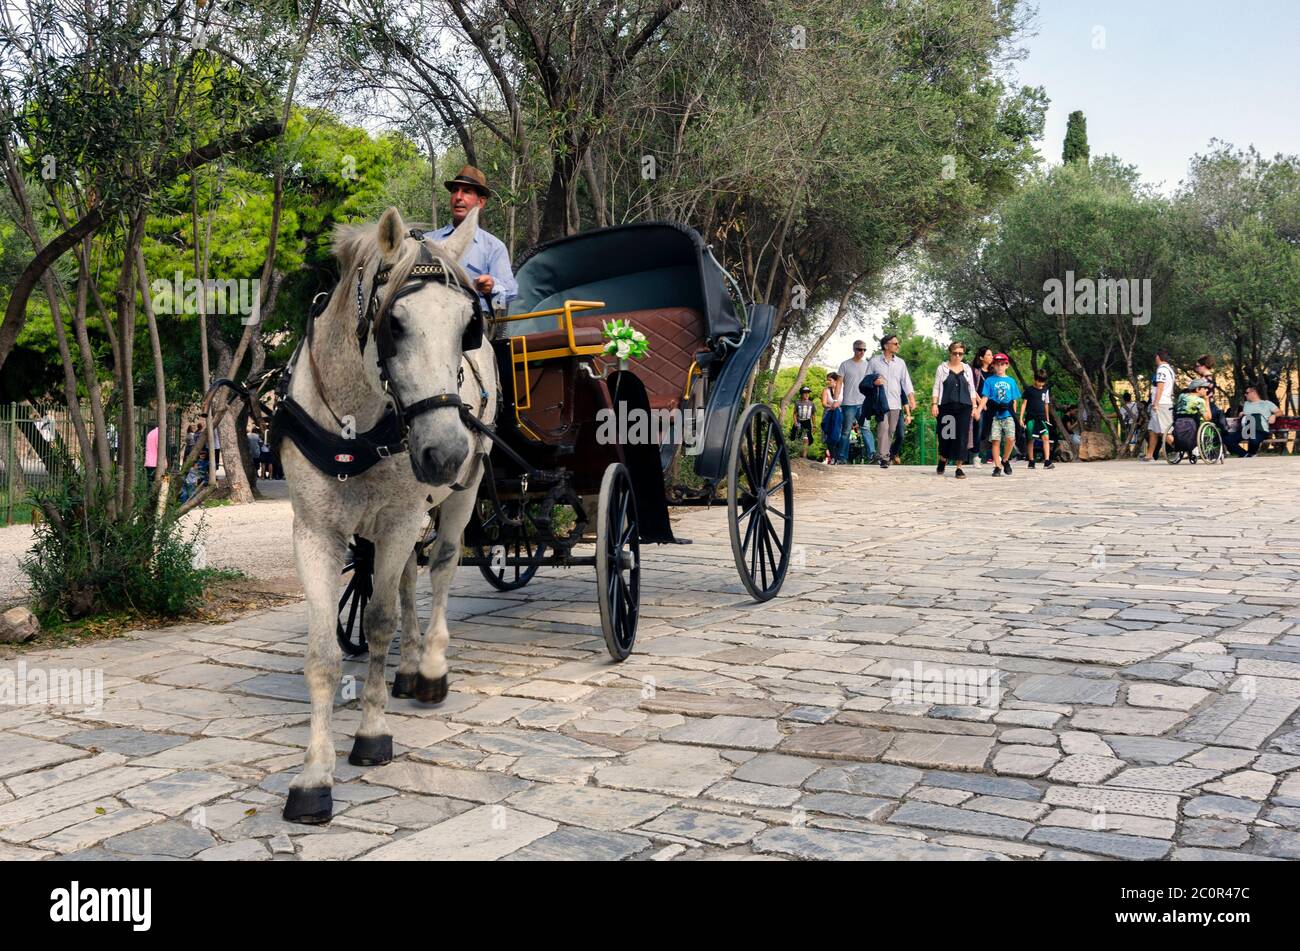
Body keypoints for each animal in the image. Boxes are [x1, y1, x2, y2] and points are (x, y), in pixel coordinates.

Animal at [275, 206, 497, 824]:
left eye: (468, 326)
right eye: (393, 324)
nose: (444, 452)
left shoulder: (399, 519)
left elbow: (376, 623)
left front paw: (372, 733)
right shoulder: (316, 532)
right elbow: (325, 653)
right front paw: (313, 775)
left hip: (462, 493)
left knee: (439, 567)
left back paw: (431, 668)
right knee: (403, 583)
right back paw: (410, 665)